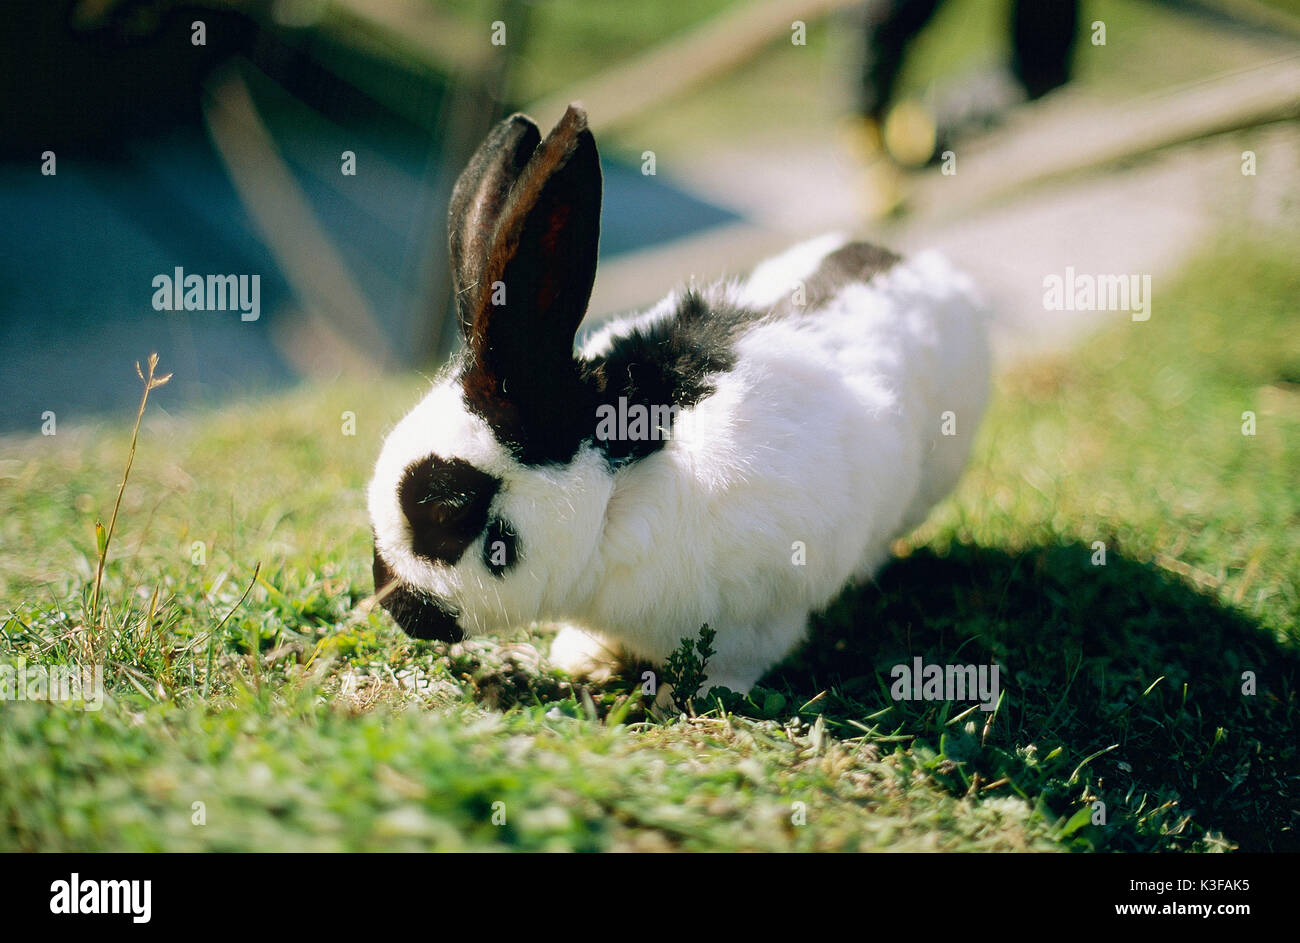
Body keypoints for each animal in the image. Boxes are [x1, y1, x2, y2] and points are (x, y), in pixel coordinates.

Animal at [368, 104, 991, 695]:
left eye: (448, 508)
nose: (393, 603)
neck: (614, 489)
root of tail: (913, 262)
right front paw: (583, 657)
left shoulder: (764, 610)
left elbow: (739, 658)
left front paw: (692, 693)